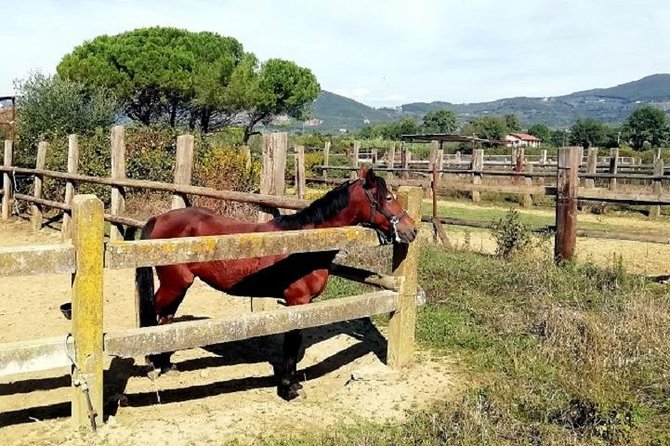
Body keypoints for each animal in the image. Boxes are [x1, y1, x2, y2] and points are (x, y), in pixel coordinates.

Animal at [135, 167, 417, 400]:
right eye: (388, 197)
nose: (412, 230)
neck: (304, 244)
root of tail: (159, 219)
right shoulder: (296, 302)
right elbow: (291, 345)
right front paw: (287, 388)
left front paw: (293, 383)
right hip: (174, 284)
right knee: (151, 317)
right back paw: (151, 364)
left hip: (180, 286)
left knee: (166, 318)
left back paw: (165, 364)